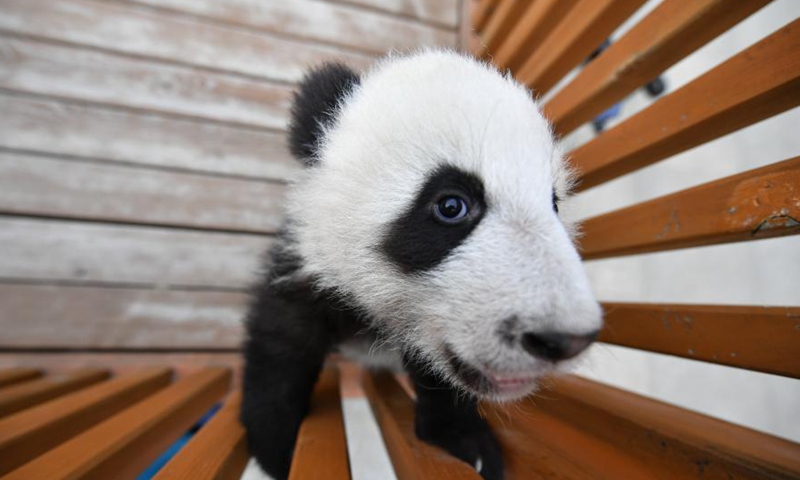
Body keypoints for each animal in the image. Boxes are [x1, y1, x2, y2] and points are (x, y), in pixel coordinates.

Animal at [241, 50, 603, 480]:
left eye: (553, 204)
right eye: (451, 205)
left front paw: (465, 441)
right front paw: (277, 448)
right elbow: (283, 340)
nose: (563, 339)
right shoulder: (308, 261)